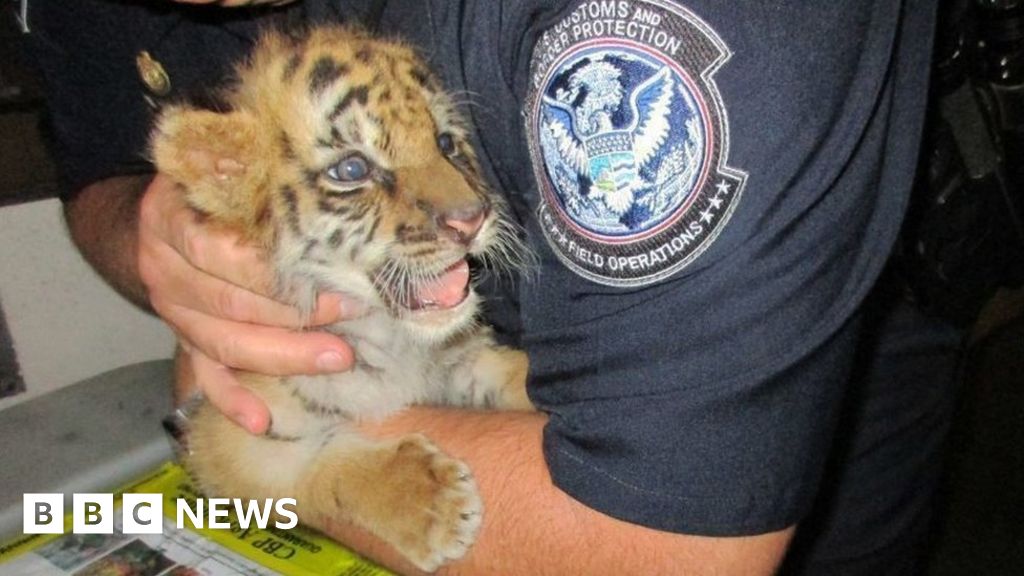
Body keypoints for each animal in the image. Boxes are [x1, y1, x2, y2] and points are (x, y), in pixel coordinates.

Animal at [151, 26, 533, 572]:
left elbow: (510, 372)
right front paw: (431, 504)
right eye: (352, 169)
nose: (471, 218)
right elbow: (321, 470)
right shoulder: (231, 437)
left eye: (444, 143)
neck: (390, 339)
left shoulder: (459, 362)